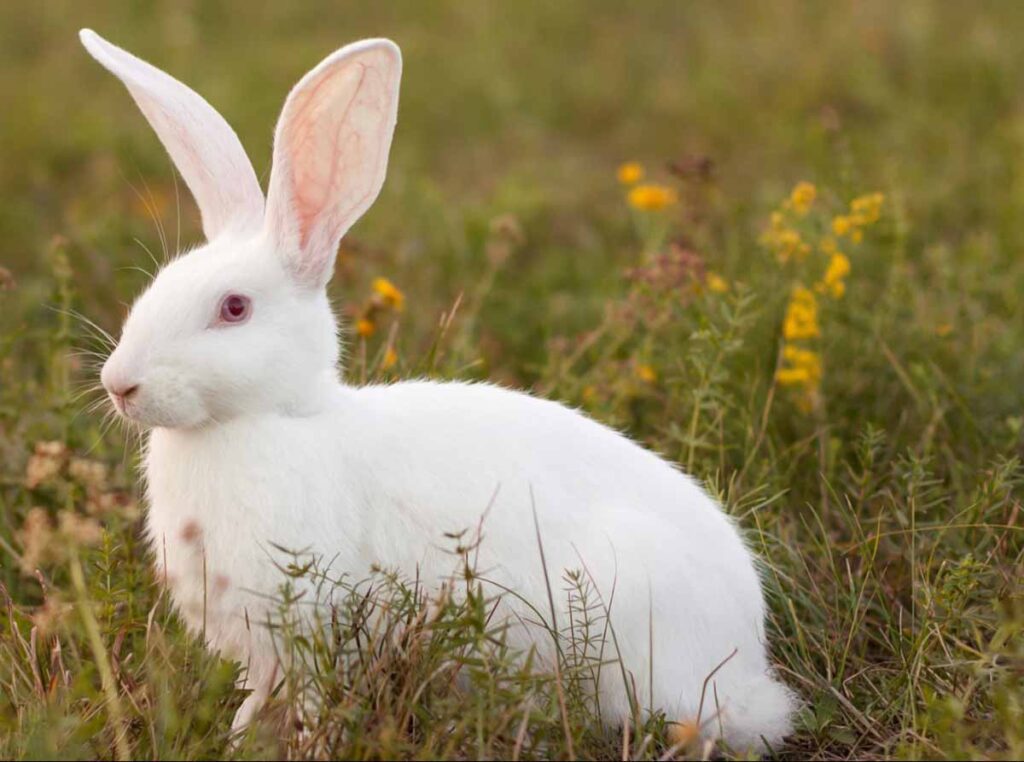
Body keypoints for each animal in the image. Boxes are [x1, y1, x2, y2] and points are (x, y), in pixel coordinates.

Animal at [81, 28, 795, 750]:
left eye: (233, 309)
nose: (119, 385)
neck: (270, 418)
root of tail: (748, 664)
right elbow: (257, 702)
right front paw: (238, 742)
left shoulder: (312, 629)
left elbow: (310, 702)